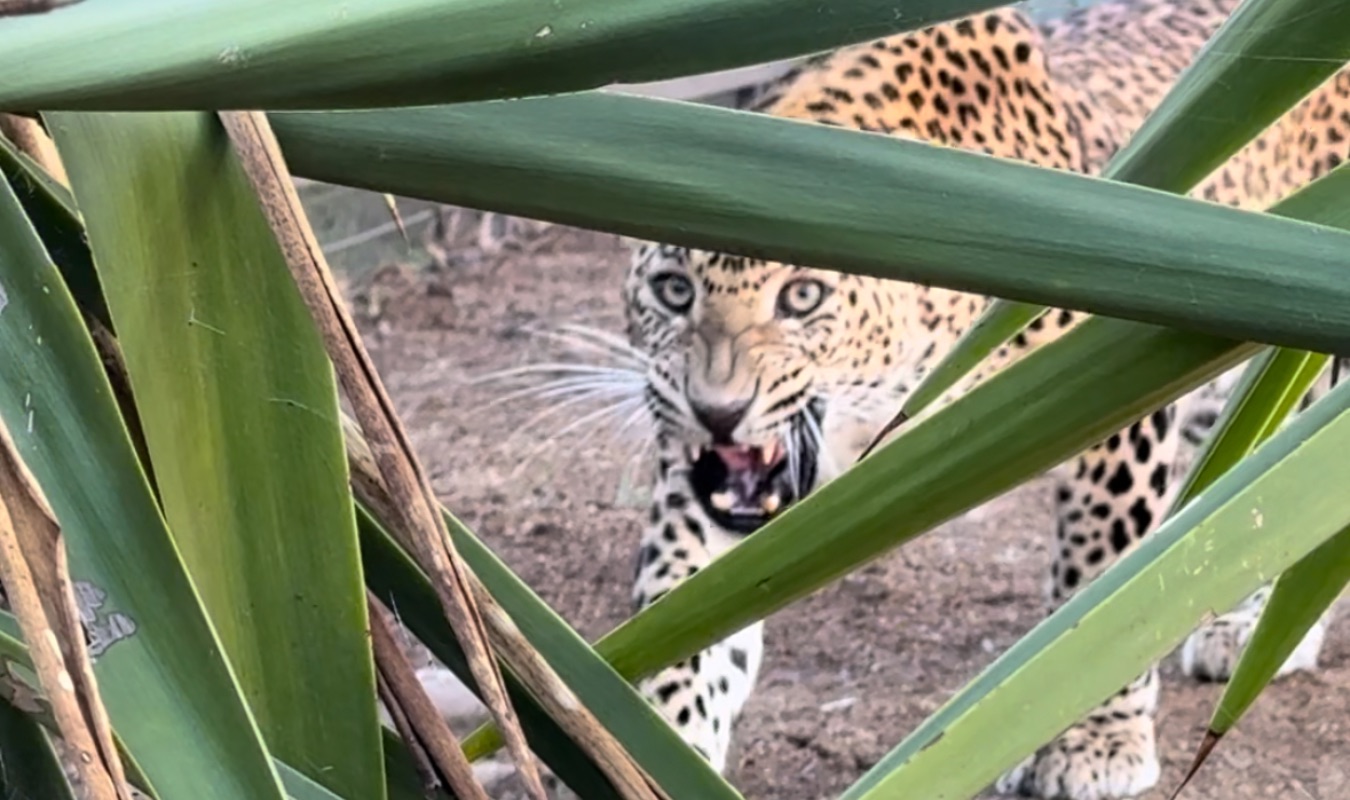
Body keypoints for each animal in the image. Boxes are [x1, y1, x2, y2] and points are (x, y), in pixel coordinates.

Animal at [598, 0, 1350, 798]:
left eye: (801, 298)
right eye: (673, 291)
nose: (718, 409)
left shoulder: (1120, 394)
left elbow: (1109, 567)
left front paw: (1090, 738)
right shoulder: (697, 475)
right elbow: (683, 623)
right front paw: (637, 743)